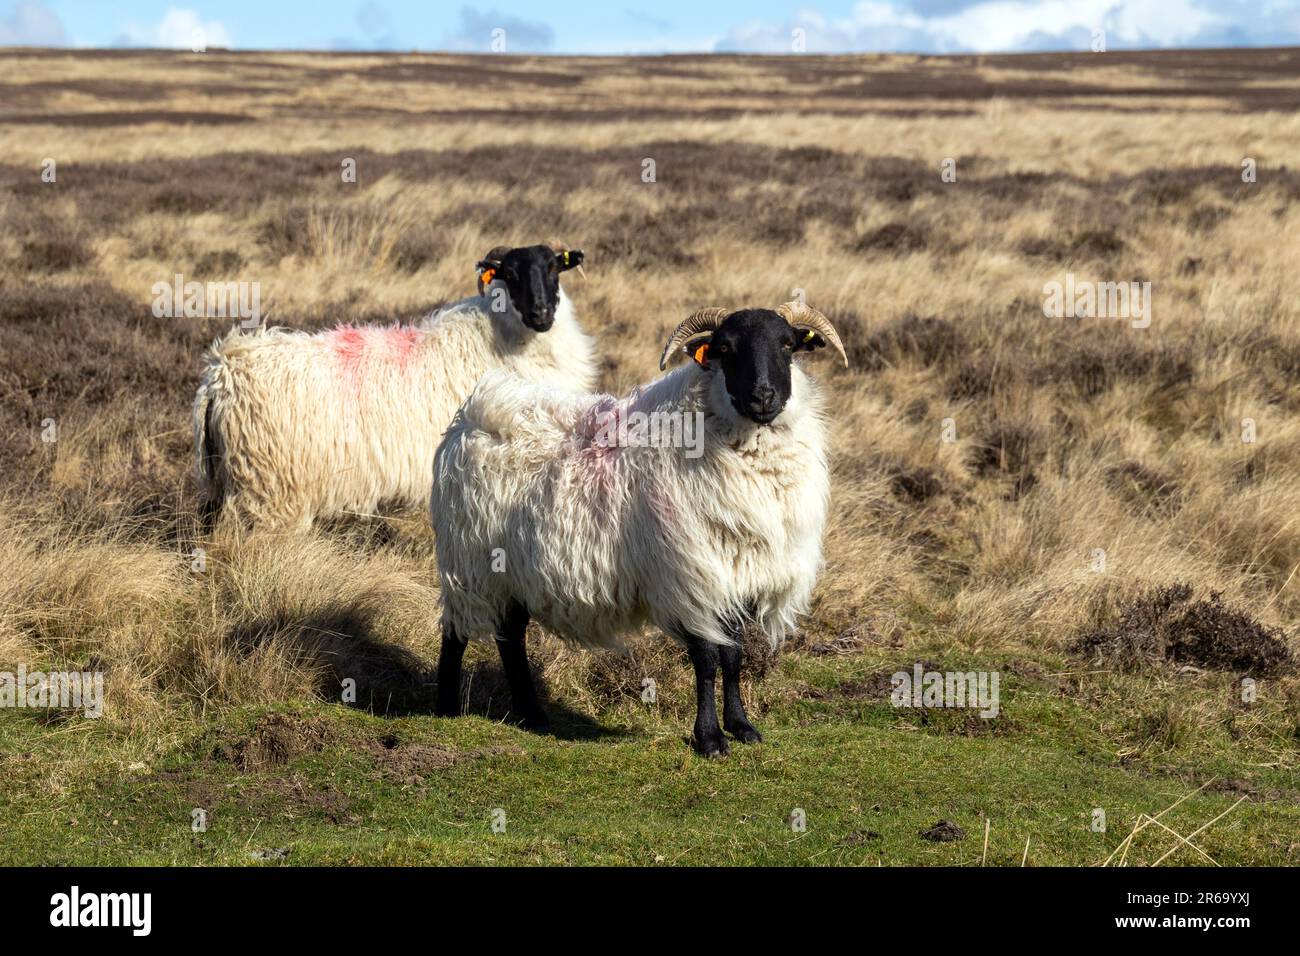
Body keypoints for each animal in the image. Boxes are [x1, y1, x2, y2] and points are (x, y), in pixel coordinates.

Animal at [193, 243, 595, 531]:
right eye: (510, 274)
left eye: (553, 267)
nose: (541, 313)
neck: (496, 338)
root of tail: (221, 374)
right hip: (267, 491)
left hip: (225, 479)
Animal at [431, 300, 847, 755]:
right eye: (724, 349)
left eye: (788, 345)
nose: (763, 396)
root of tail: (471, 415)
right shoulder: (686, 577)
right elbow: (706, 658)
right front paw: (709, 738)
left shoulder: (736, 573)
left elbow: (733, 655)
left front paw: (741, 726)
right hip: (469, 562)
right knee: (456, 633)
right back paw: (447, 707)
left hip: (511, 572)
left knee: (510, 636)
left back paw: (532, 714)